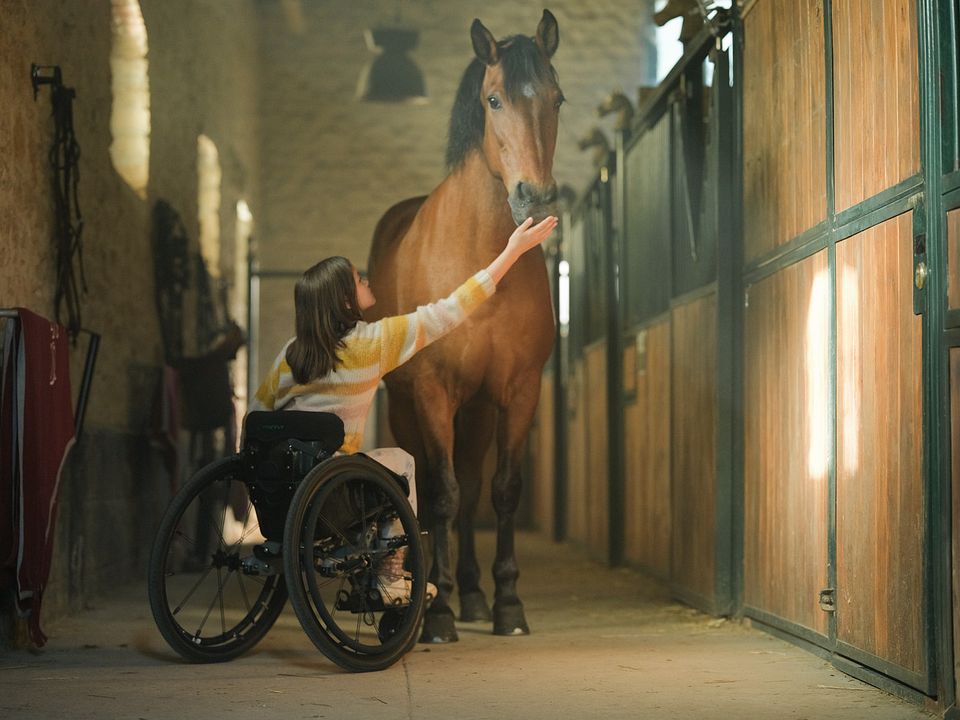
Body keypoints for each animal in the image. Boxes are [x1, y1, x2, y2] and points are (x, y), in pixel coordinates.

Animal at [366, 9, 564, 640]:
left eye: (557, 98)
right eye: (494, 99)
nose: (536, 199)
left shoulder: (518, 392)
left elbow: (500, 492)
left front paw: (506, 604)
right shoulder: (433, 392)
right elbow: (443, 495)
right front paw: (438, 614)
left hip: (476, 411)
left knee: (475, 486)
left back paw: (473, 593)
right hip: (413, 409)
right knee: (431, 487)